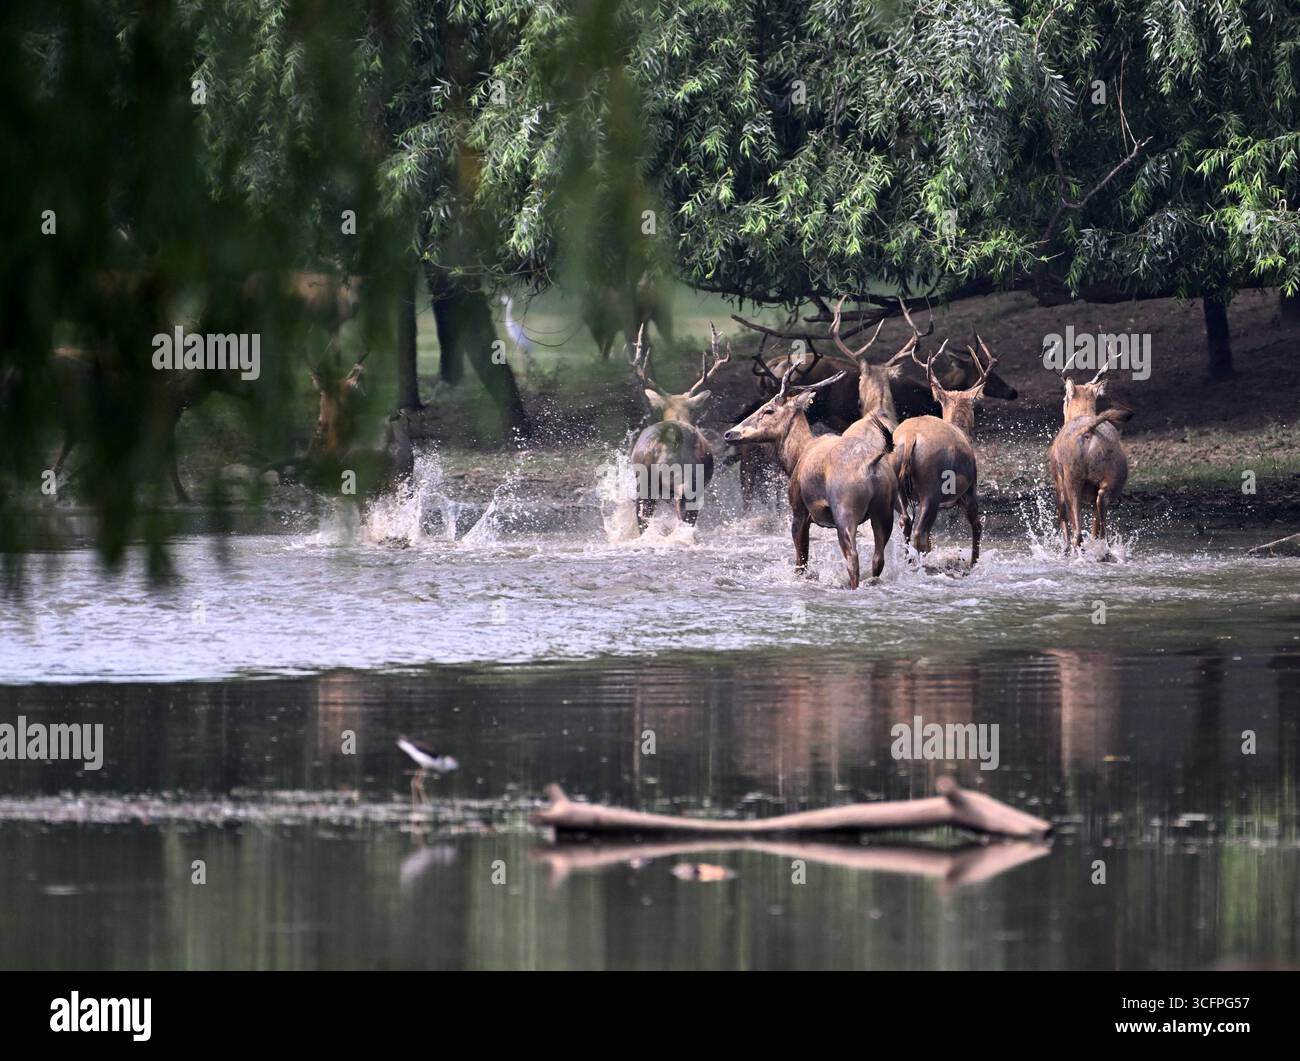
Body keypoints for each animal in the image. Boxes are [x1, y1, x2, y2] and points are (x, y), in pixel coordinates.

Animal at [723, 360, 899, 589]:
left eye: (768, 410)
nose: (730, 433)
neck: (796, 456)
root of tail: (873, 464)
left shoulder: (799, 512)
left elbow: (800, 563)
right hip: (884, 512)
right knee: (878, 559)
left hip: (845, 511)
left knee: (853, 558)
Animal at [890, 334, 996, 567]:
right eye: (973, 404)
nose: (982, 408)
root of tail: (910, 438)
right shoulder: (969, 489)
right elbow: (977, 525)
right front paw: (973, 563)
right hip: (932, 486)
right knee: (920, 533)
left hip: (897, 484)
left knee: (906, 522)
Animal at [1047, 351, 1132, 551]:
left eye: (1064, 399)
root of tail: (1090, 430)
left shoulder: (1057, 479)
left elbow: (1062, 519)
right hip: (1113, 480)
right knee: (1101, 530)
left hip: (1072, 479)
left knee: (1077, 534)